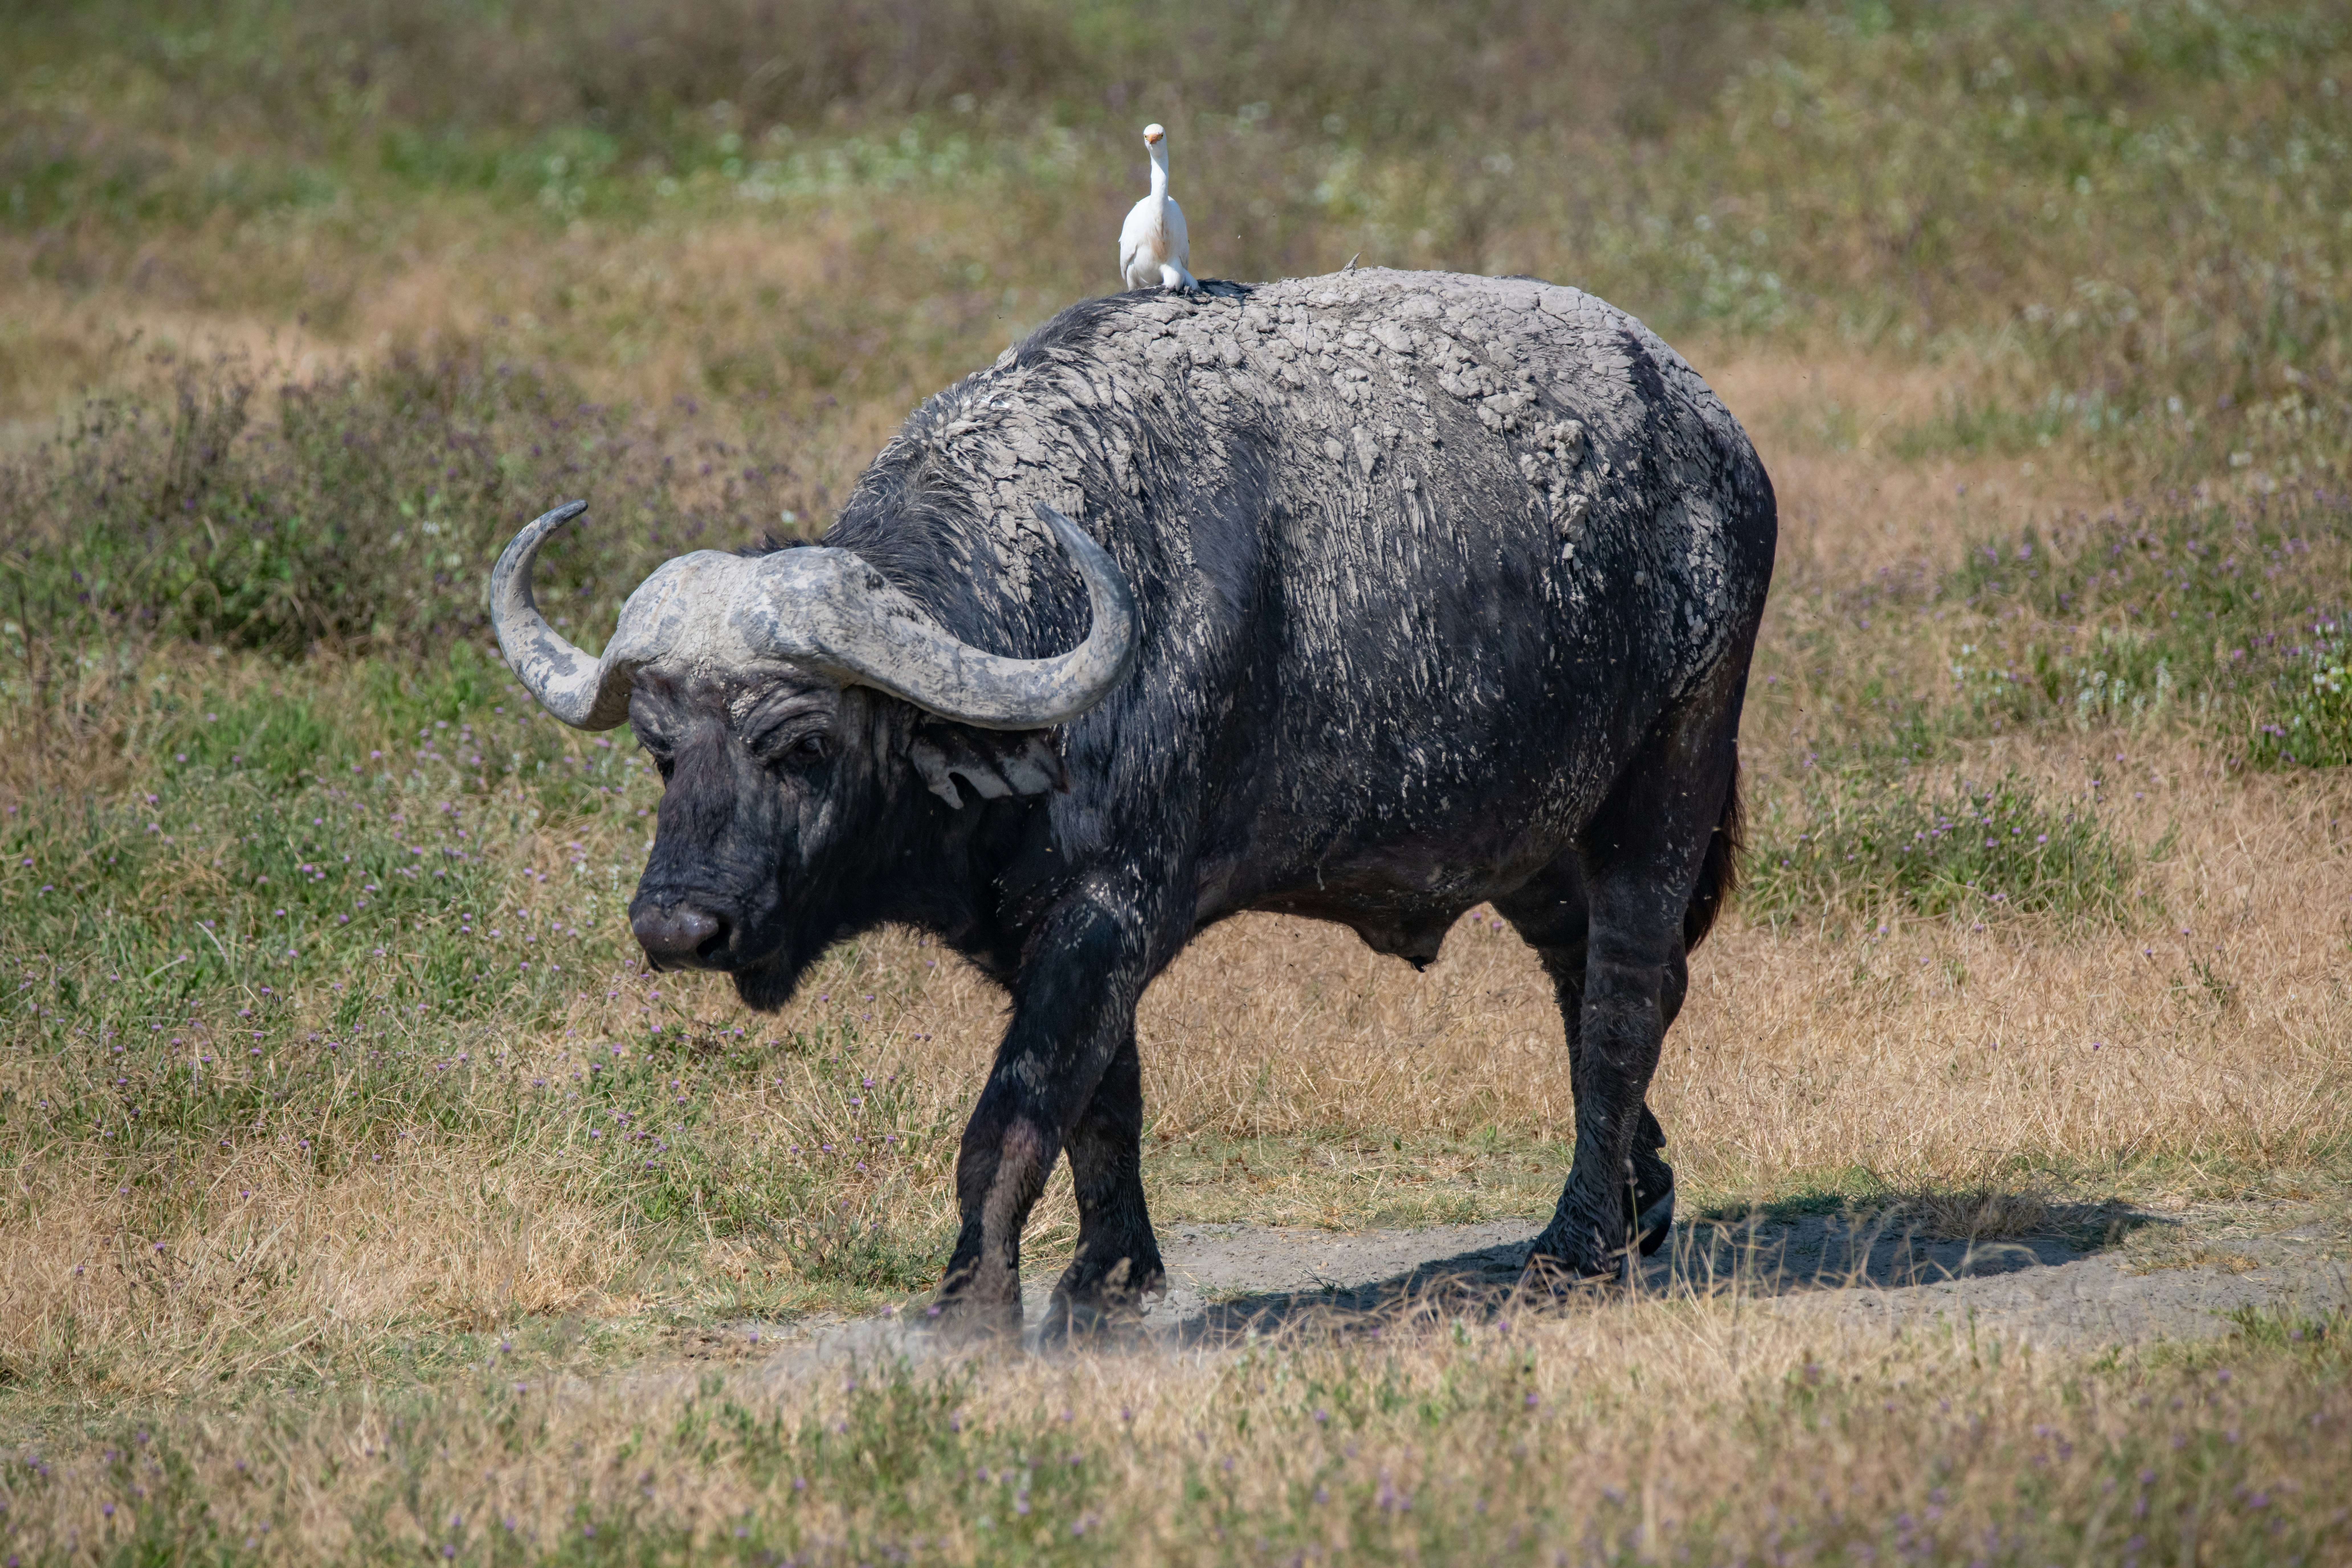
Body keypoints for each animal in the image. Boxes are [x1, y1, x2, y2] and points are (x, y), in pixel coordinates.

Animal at [490, 268, 1775, 1334]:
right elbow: (1103, 1102)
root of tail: (1714, 433)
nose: (678, 926)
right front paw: (1110, 1276)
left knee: (1625, 996)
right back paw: (1640, 1197)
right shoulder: (1040, 931)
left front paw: (971, 1302)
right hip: (1533, 832)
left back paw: (1574, 1240)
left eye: (802, 741)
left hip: (1672, 770)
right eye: (662, 749)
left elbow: (1016, 1113)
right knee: (1582, 974)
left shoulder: (1110, 908)